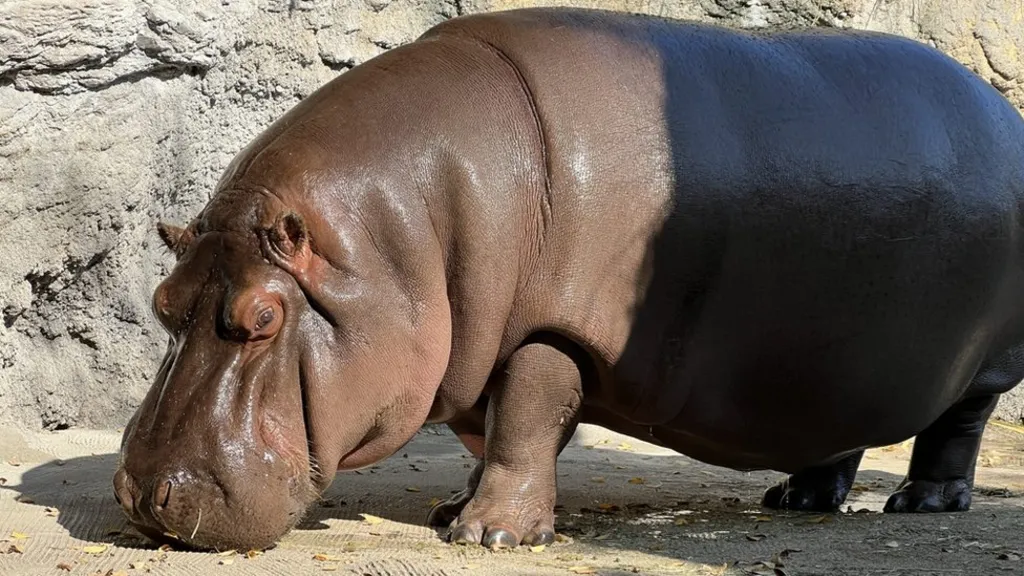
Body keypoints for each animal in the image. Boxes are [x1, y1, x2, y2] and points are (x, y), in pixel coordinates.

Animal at [113, 7, 1024, 552]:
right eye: (162, 304)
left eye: (264, 318)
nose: (142, 493)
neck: (400, 239)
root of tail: (1004, 111)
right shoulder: (481, 338)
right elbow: (496, 434)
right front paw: (456, 512)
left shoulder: (550, 331)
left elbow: (525, 419)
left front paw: (486, 537)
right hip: (842, 365)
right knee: (838, 430)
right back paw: (798, 502)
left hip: (985, 365)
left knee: (956, 427)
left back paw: (923, 504)